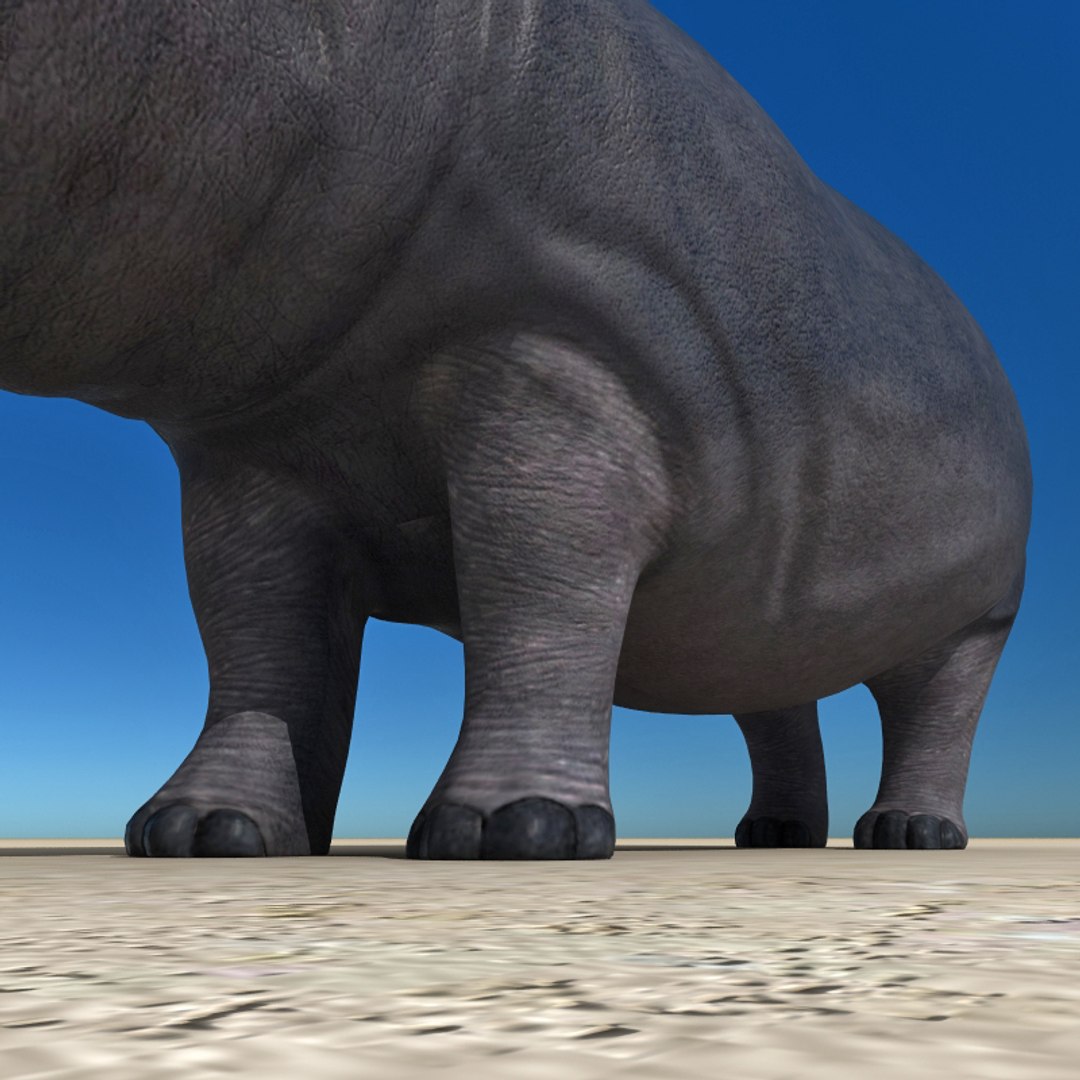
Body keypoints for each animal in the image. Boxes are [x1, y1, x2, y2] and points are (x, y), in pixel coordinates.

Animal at [0, 0, 1031, 858]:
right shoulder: (254, 449)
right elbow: (255, 637)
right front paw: (197, 832)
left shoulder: (557, 366)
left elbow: (533, 586)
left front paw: (514, 831)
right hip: (777, 595)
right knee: (772, 681)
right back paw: (773, 837)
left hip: (982, 605)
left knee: (937, 703)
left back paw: (911, 836)